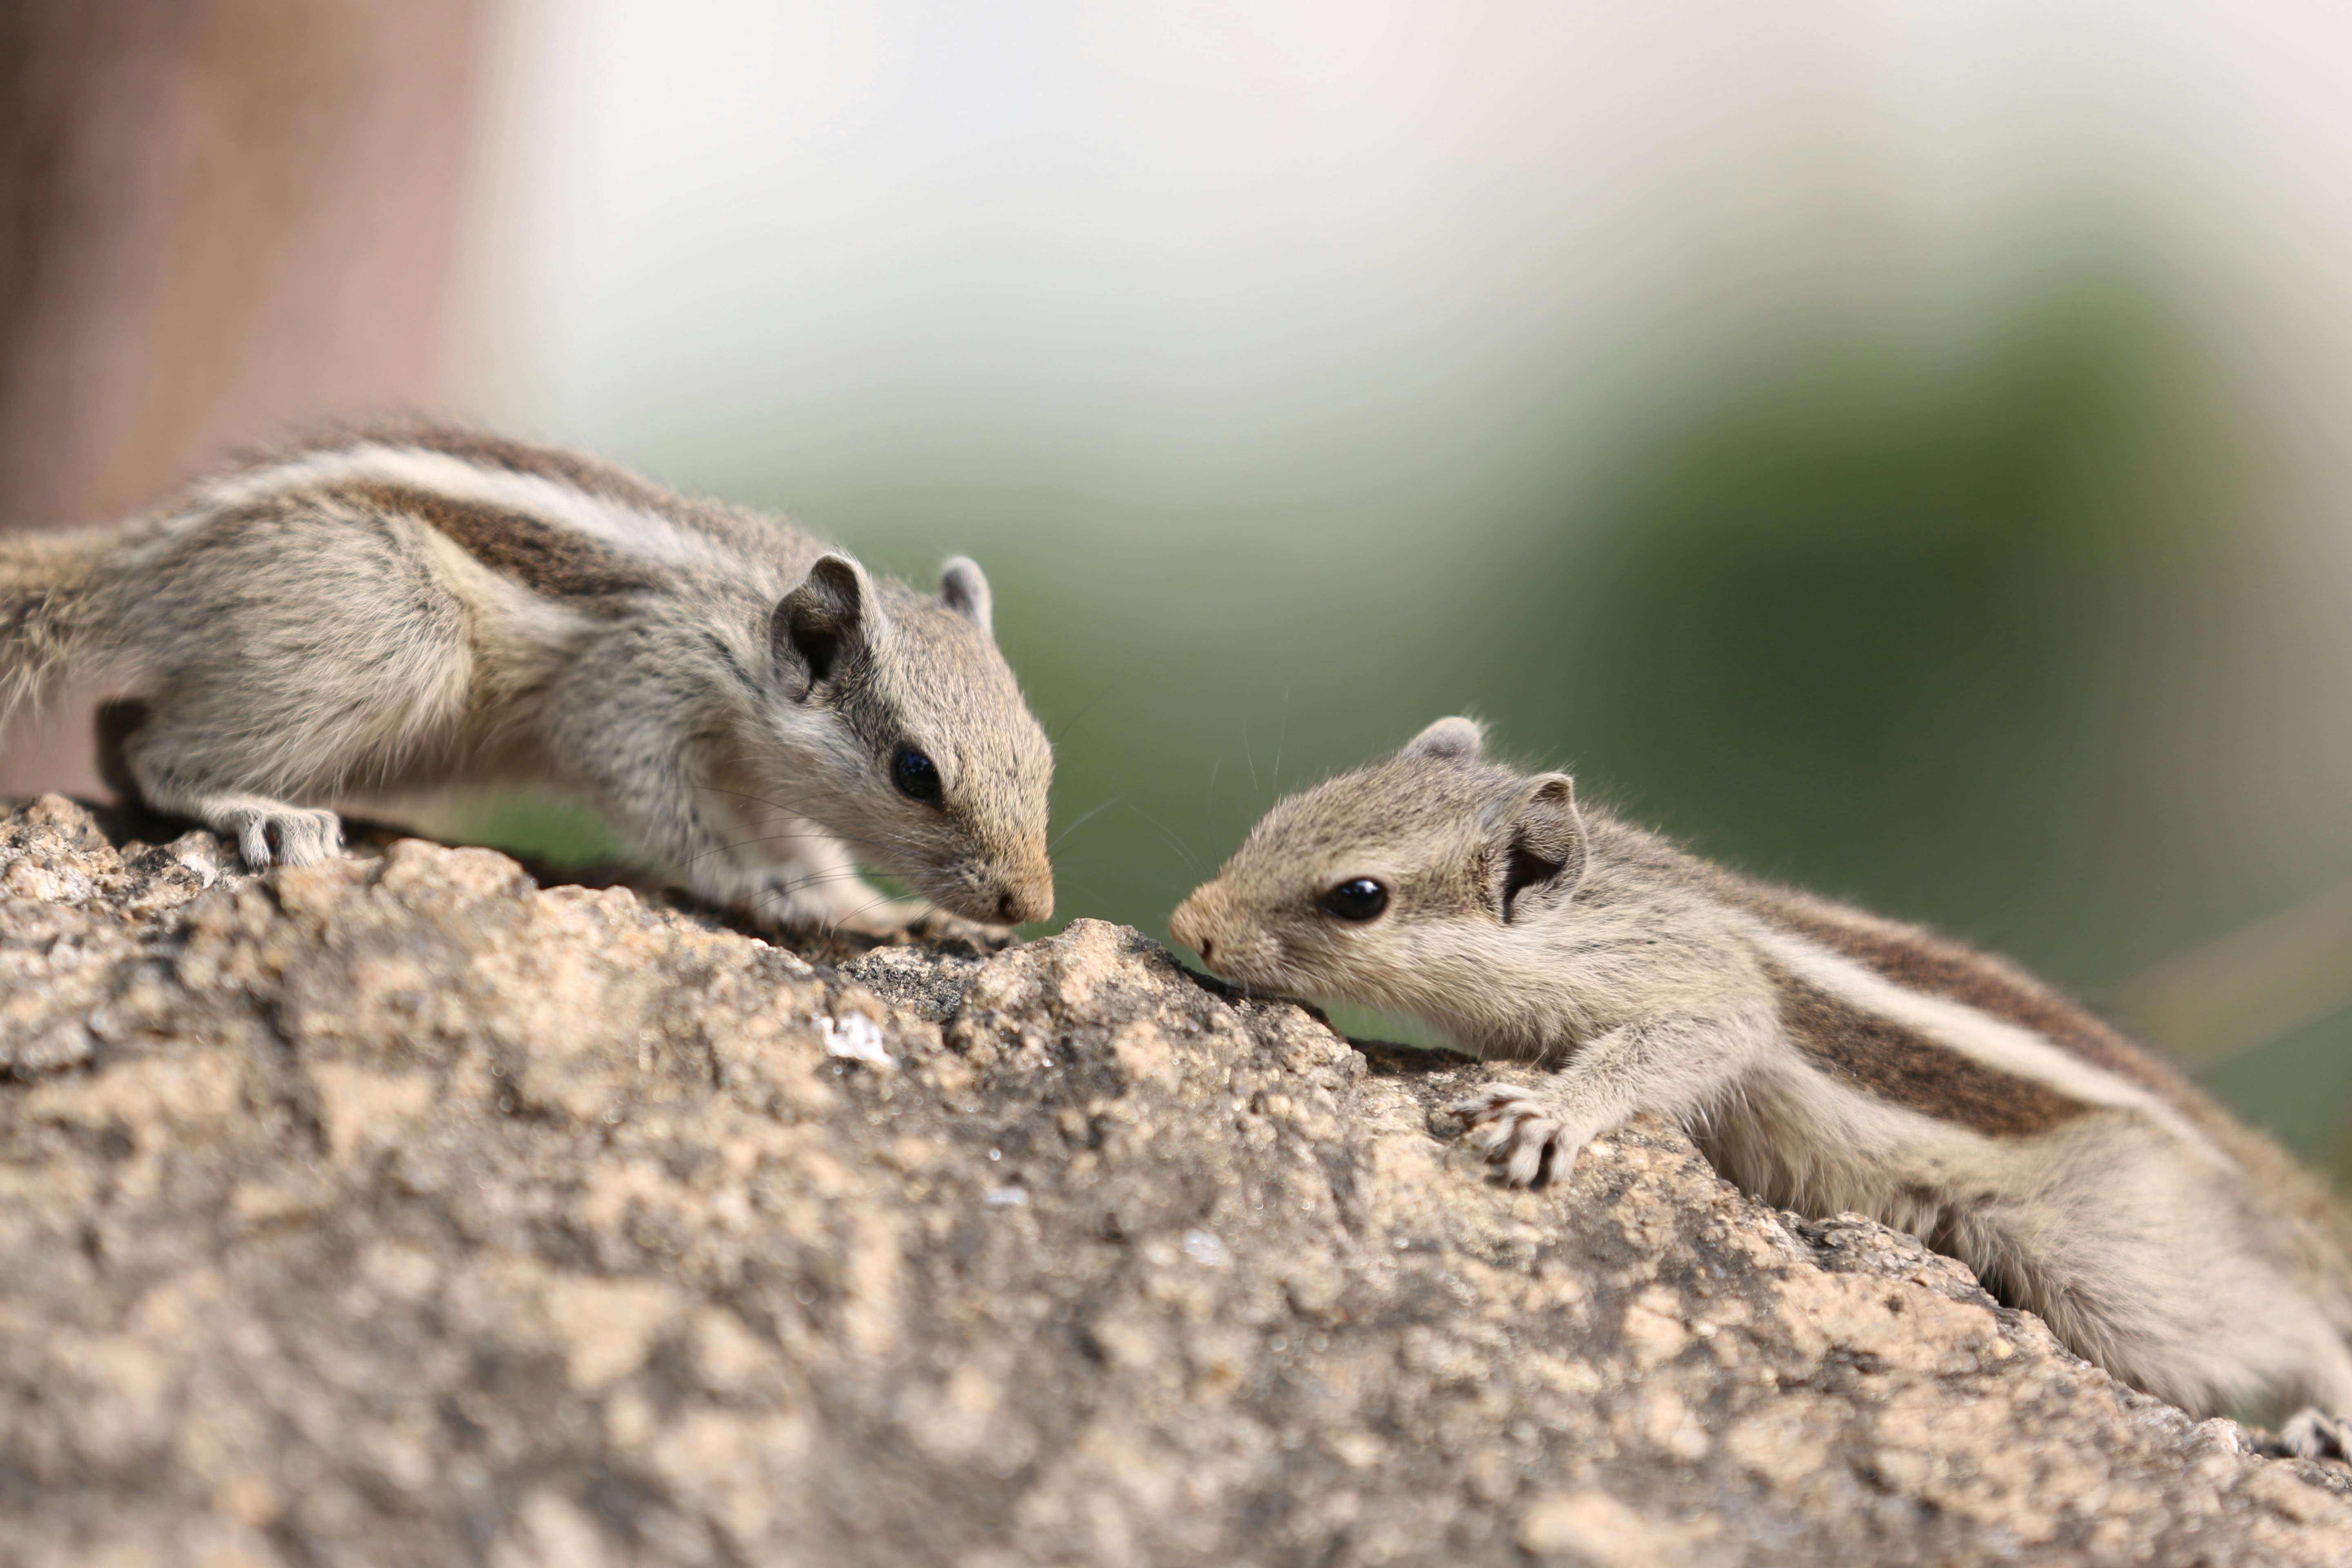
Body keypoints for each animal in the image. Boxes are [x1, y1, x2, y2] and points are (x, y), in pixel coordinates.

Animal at [0, 425, 1054, 930]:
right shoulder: (635, 688)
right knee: (148, 747)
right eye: (915, 772)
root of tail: (144, 562)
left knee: (117, 723)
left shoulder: (756, 761)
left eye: (1045, 759)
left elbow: (807, 834)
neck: (742, 625)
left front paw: (877, 910)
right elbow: (668, 807)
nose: (1031, 907)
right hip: (397, 628)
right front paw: (764, 886)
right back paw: (259, 809)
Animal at [1169, 715, 2352, 1458]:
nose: (1188, 923)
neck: (1600, 906)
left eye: (1357, 897)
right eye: (1281, 814)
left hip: (2113, 1262)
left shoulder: (1703, 989)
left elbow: (1697, 1037)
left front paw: (1551, 1111)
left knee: (2283, 1326)